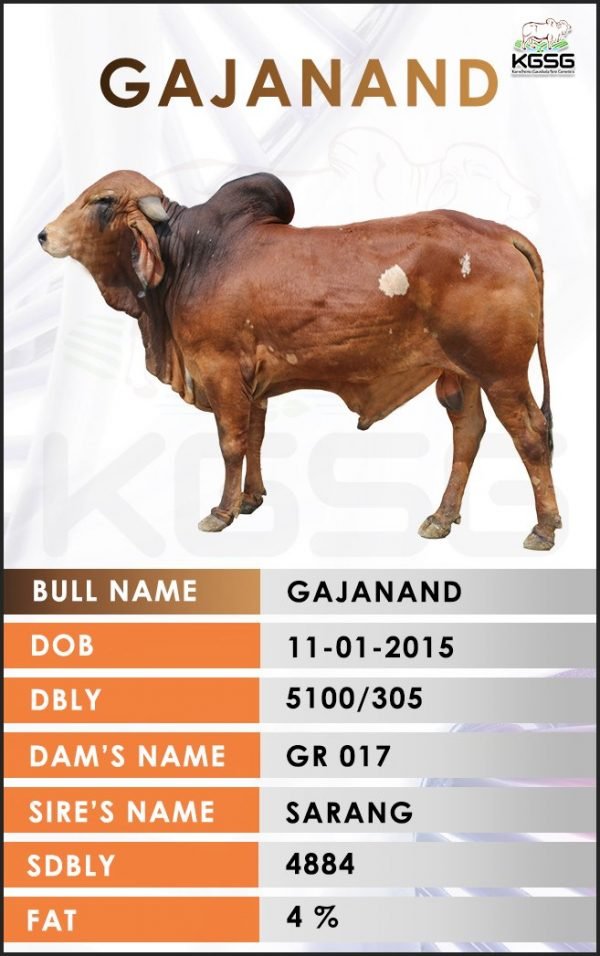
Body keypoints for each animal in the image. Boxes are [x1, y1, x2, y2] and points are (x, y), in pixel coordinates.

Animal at [38, 170, 562, 550]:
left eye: (103, 201)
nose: (43, 235)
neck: (189, 258)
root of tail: (501, 233)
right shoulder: (255, 383)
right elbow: (254, 438)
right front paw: (250, 499)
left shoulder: (221, 372)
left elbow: (231, 443)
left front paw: (222, 512)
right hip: (461, 374)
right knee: (469, 432)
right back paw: (442, 517)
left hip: (502, 373)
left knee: (531, 436)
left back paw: (543, 528)